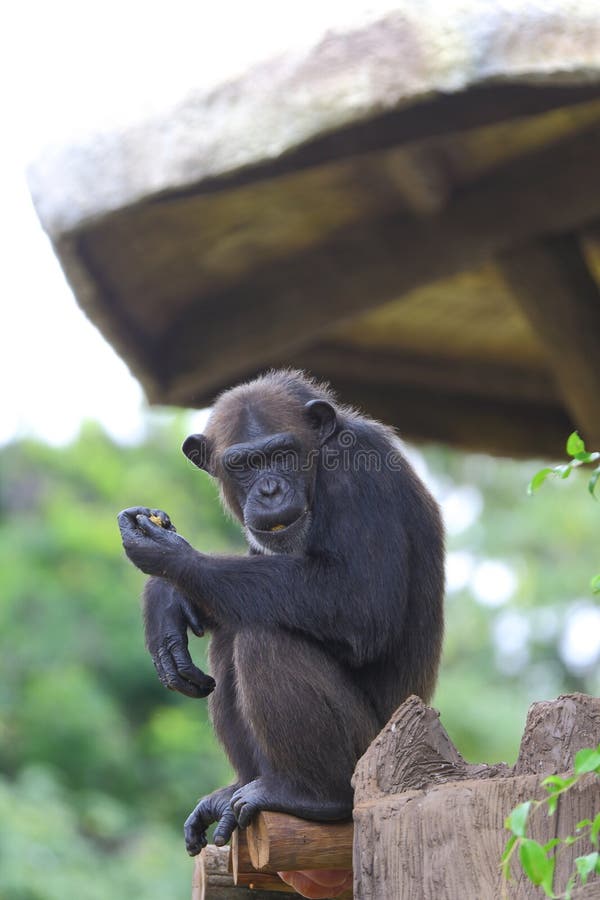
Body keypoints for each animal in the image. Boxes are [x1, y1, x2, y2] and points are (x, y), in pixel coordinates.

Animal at [118, 370, 444, 858]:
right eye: (244, 464)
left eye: (282, 454)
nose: (270, 489)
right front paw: (166, 604)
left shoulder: (359, 471)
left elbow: (360, 603)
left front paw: (171, 558)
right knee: (233, 630)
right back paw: (237, 789)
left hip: (369, 753)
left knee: (263, 637)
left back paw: (313, 795)